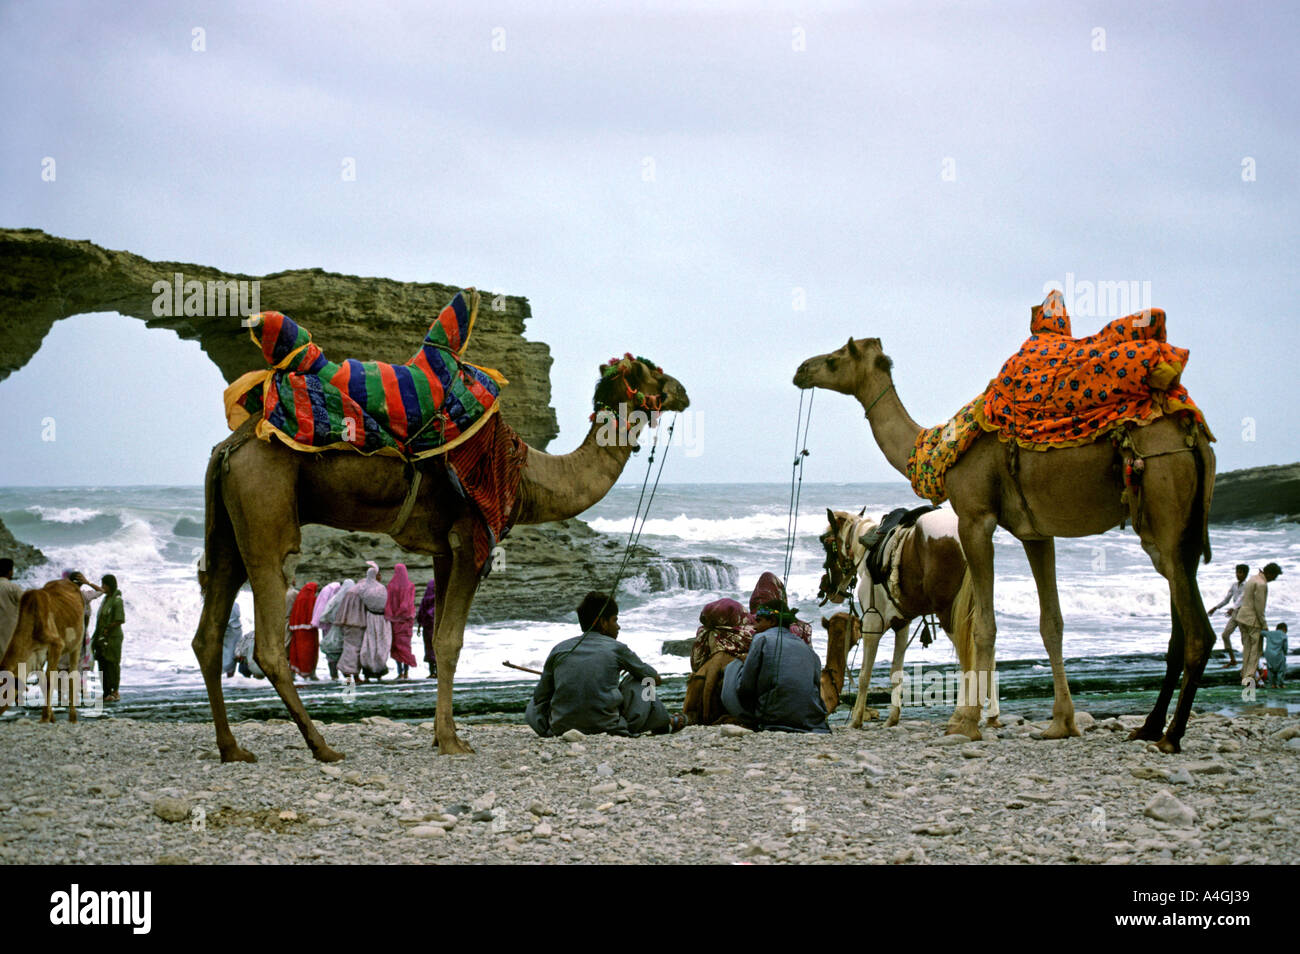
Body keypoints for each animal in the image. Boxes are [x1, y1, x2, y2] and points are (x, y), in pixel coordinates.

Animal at [0, 578, 88, 723]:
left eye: (2, 693)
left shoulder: (57, 645)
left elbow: (49, 679)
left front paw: (45, 717)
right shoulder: (36, 658)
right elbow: (42, 683)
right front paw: (51, 718)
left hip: (77, 644)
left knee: (72, 676)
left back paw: (73, 717)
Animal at [193, 355, 689, 761]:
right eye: (654, 371)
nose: (683, 392)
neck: (528, 474)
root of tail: (229, 447)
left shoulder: (444, 549)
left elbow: (438, 637)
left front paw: (440, 734)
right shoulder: (471, 538)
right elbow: (450, 641)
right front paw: (452, 741)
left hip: (227, 529)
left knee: (208, 633)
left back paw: (232, 748)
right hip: (265, 506)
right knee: (268, 635)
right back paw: (323, 747)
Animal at [817, 508, 981, 728]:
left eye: (826, 543)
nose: (829, 588)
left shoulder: (872, 625)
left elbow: (864, 674)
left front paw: (856, 720)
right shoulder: (902, 625)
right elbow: (896, 673)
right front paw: (892, 718)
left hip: (951, 617)